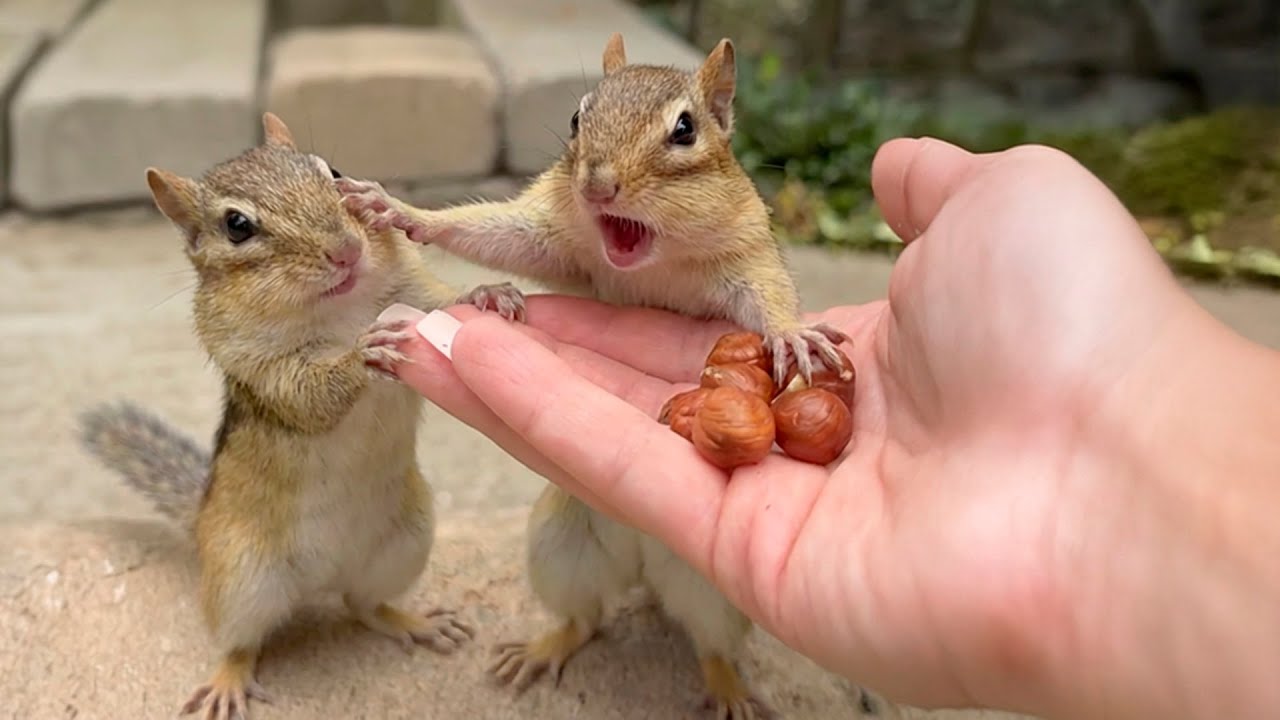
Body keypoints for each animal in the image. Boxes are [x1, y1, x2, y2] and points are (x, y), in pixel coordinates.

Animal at [76, 112, 524, 720]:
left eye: (332, 171)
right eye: (237, 226)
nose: (346, 251)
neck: (341, 307)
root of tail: (323, 578)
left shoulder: (412, 287)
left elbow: (439, 303)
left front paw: (486, 292)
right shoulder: (261, 365)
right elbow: (308, 395)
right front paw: (362, 355)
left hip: (407, 543)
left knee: (363, 605)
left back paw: (411, 620)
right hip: (241, 578)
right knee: (241, 641)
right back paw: (228, 679)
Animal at [337, 34, 853, 719]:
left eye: (685, 130)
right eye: (578, 117)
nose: (597, 186)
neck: (651, 259)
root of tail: (643, 565)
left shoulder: (747, 251)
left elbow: (768, 296)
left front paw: (794, 333)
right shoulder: (553, 237)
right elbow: (493, 234)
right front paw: (396, 208)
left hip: (714, 594)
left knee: (711, 645)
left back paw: (728, 688)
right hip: (561, 546)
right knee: (586, 618)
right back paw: (543, 649)